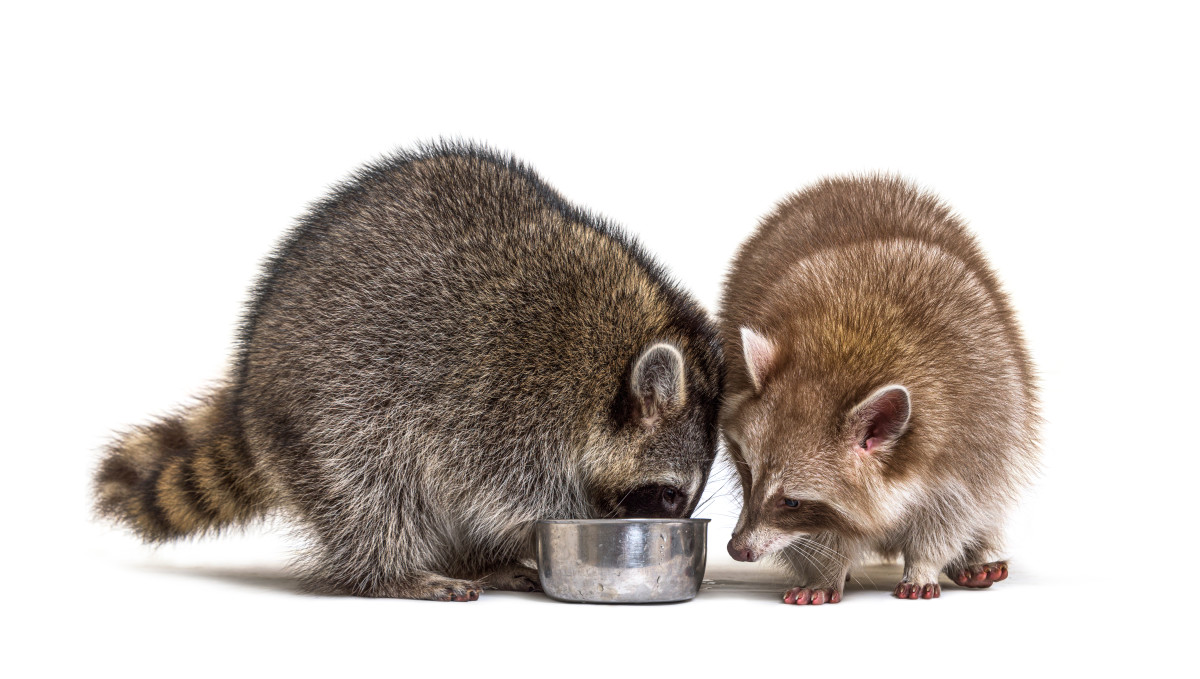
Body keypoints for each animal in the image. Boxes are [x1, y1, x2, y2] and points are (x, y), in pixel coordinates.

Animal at [94, 143, 724, 601]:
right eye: (670, 496)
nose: (675, 526)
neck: (611, 361)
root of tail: (250, 380)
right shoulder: (506, 395)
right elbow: (499, 491)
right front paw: (573, 516)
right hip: (330, 401)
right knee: (368, 488)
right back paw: (392, 571)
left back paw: (479, 562)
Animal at [720, 176, 1038, 603]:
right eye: (747, 474)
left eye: (792, 501)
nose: (737, 549)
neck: (839, 366)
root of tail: (854, 182)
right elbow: (823, 537)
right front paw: (824, 571)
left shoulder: (969, 432)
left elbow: (952, 512)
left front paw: (925, 563)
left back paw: (975, 553)